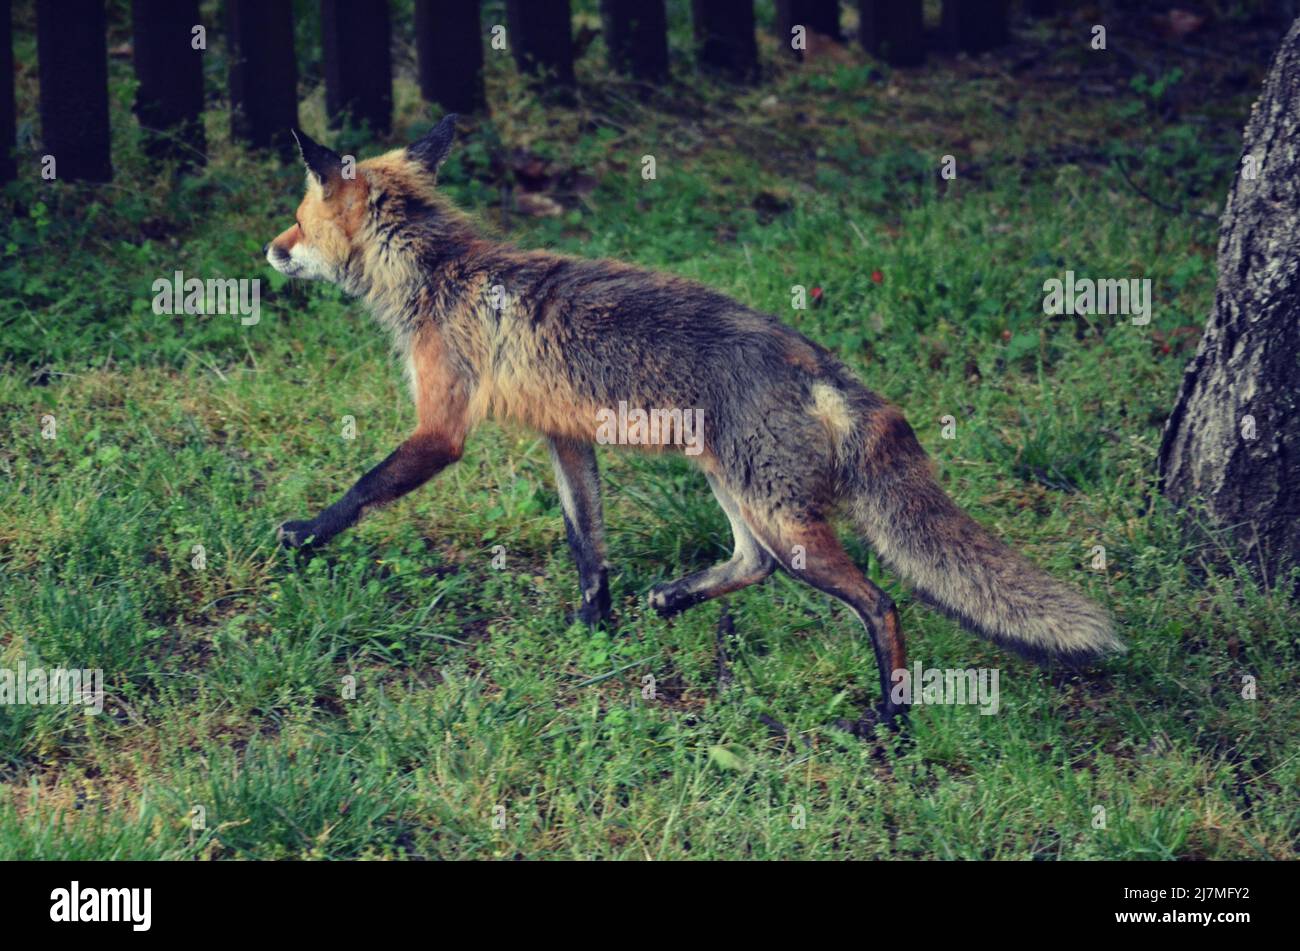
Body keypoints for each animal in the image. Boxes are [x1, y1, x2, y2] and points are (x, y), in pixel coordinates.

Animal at [265, 114, 1124, 727]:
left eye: (299, 217)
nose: (271, 249)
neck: (439, 274)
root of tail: (817, 360)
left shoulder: (441, 429)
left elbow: (363, 488)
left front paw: (302, 535)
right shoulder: (565, 435)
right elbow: (588, 543)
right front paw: (595, 625)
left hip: (778, 512)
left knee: (877, 600)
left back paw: (890, 717)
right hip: (735, 488)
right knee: (752, 564)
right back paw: (675, 599)